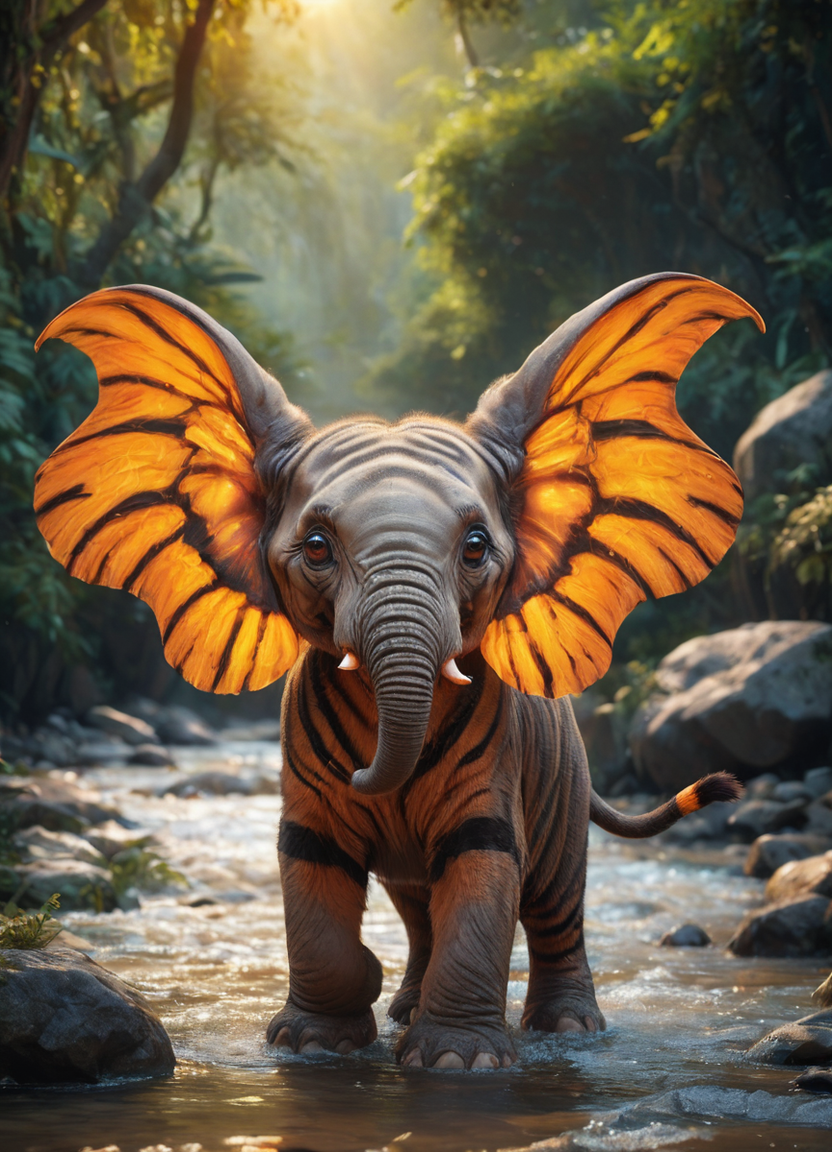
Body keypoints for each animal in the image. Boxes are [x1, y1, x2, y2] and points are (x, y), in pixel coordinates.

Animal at [34, 272, 763, 1069]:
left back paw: (568, 1030)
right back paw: (405, 1004)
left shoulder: (497, 761)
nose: (361, 773)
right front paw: (316, 1041)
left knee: (553, 900)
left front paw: (455, 1063)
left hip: (565, 780)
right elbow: (313, 860)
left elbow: (484, 858)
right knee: (418, 905)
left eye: (475, 547)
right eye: (317, 547)